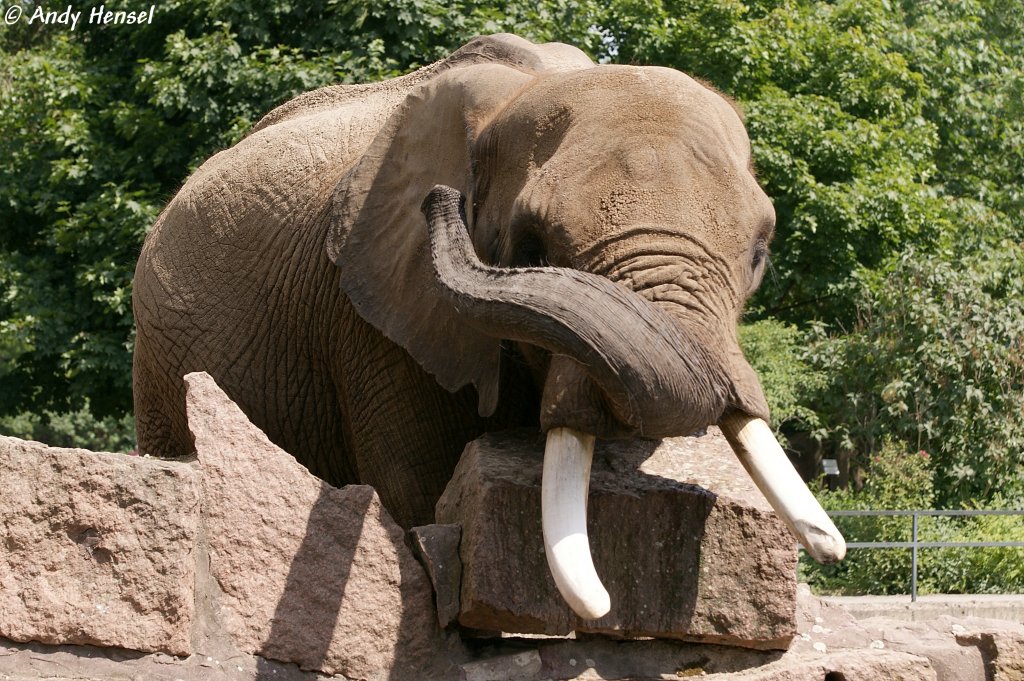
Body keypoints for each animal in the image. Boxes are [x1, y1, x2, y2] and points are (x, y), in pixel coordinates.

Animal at [133, 33, 844, 618]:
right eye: (529, 245)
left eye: (761, 251)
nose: (441, 202)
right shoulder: (376, 316)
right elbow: (415, 490)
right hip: (159, 354)